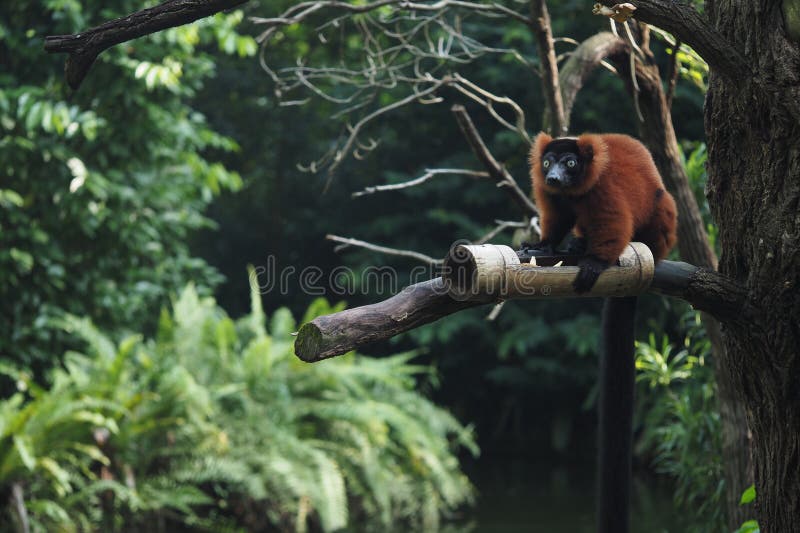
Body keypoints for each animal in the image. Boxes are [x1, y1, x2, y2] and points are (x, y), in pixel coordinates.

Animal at [527, 132, 677, 533]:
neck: (575, 189)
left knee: (658, 205)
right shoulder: (555, 196)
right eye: (548, 164)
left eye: (570, 164)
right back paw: (577, 244)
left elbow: (613, 222)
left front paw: (596, 261)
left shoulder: (603, 190)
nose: (554, 177)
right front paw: (545, 245)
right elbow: (558, 217)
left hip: (662, 227)